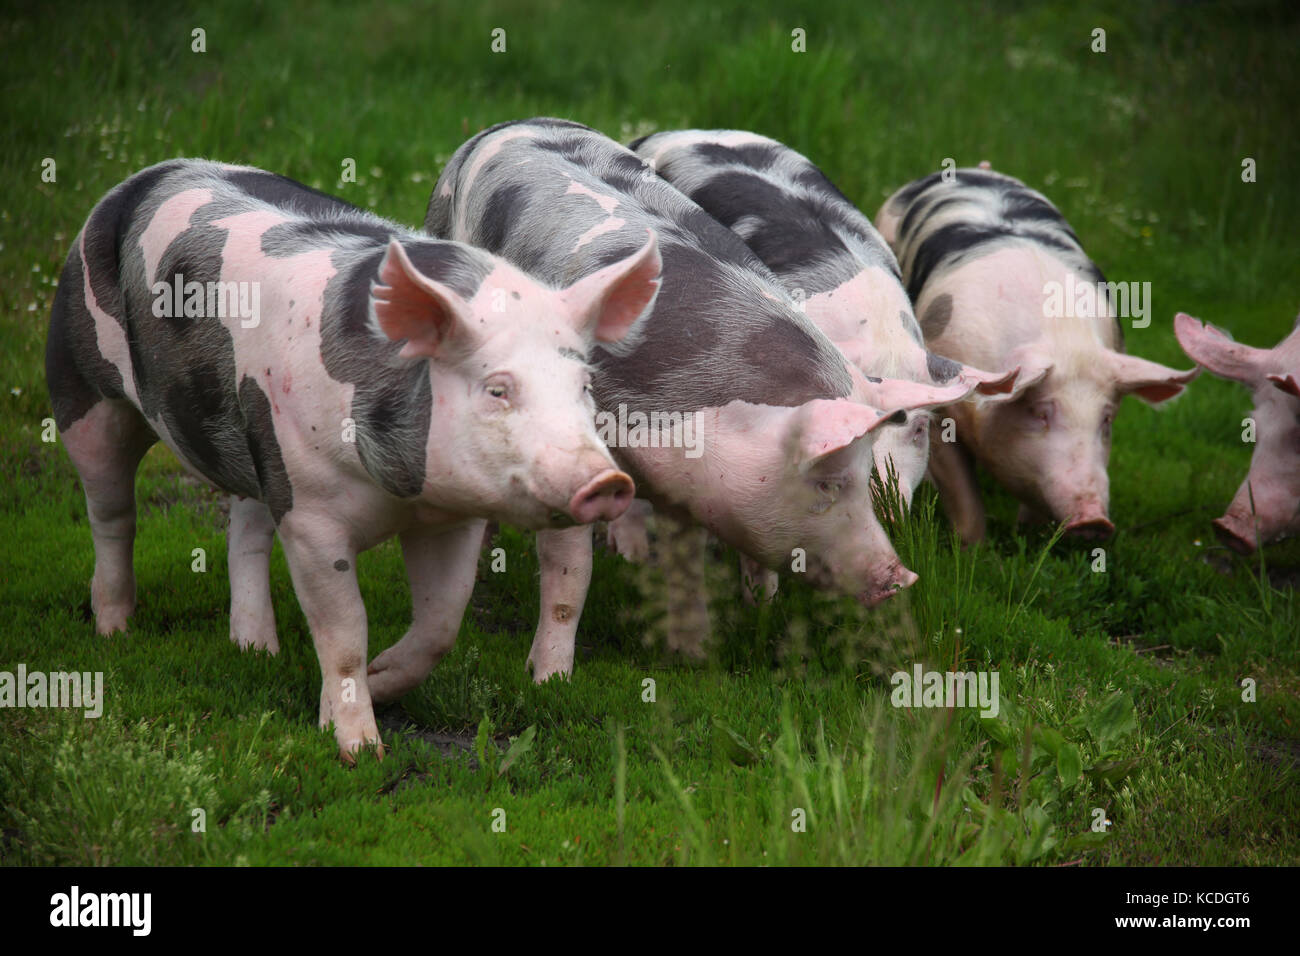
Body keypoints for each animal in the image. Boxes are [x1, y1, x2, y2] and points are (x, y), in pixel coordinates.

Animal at [45, 158, 652, 758]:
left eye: (583, 384)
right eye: (498, 389)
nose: (608, 481)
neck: (402, 495)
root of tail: (143, 177)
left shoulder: (448, 516)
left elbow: (441, 621)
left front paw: (379, 682)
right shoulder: (310, 510)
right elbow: (344, 632)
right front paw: (360, 750)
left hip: (256, 438)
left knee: (245, 527)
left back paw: (256, 650)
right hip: (84, 389)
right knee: (112, 514)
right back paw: (115, 631)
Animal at [410, 117, 974, 684]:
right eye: (828, 482)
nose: (902, 576)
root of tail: (511, 125)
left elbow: (686, 561)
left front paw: (699, 651)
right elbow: (571, 573)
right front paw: (551, 681)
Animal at [875, 166, 1199, 543]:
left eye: (1106, 419)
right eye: (1041, 412)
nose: (1094, 522)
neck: (1062, 338)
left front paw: (1030, 539)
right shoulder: (941, 410)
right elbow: (964, 498)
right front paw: (972, 548)